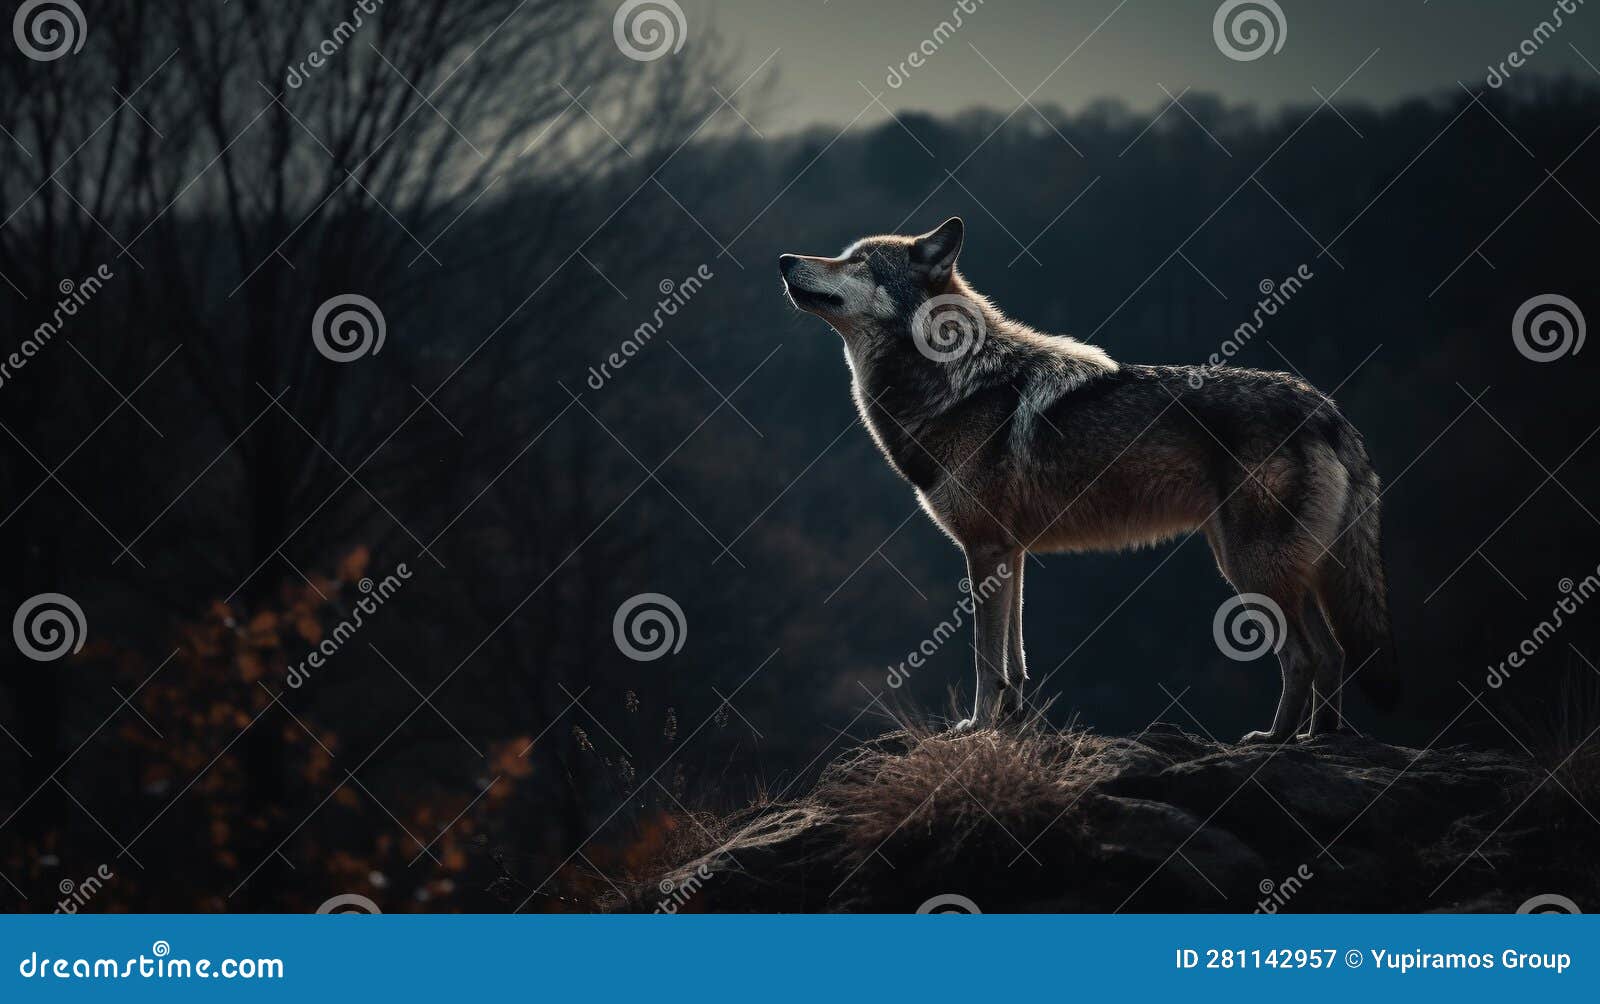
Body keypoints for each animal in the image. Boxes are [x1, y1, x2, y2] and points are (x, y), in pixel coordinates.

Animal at [778, 217, 1397, 741]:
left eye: (857, 262)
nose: (784, 258)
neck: (954, 382)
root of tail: (1326, 409)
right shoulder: (1010, 554)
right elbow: (1016, 660)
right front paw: (1012, 724)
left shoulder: (983, 549)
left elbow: (985, 661)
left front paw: (976, 729)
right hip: (1276, 568)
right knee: (1333, 654)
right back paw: (1320, 741)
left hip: (1252, 570)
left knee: (1304, 657)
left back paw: (1275, 740)